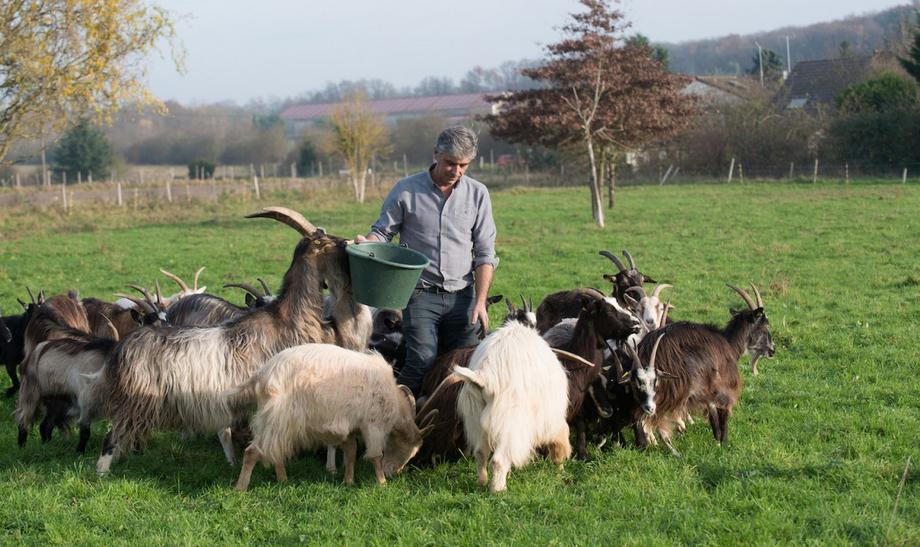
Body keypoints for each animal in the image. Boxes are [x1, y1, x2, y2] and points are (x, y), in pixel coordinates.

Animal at [91, 208, 368, 478]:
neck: (288, 317)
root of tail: (122, 349)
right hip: (136, 400)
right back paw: (102, 473)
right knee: (111, 436)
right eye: (327, 240)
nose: (347, 242)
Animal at [226, 344, 434, 490]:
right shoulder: (372, 425)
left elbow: (351, 452)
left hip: (280, 423)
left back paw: (283, 480)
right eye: (411, 451)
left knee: (275, 449)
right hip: (277, 418)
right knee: (253, 451)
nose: (394, 473)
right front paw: (382, 483)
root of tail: (262, 374)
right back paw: (240, 488)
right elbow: (375, 455)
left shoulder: (352, 427)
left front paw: (349, 481)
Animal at [454, 324, 572, 494]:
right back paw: (498, 490)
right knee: (498, 459)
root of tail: (485, 377)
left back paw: (482, 483)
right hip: (510, 421)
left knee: (481, 452)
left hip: (477, 419)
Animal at [632, 284, 768, 456]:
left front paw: (717, 442)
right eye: (765, 326)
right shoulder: (723, 388)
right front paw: (724, 444)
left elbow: (713, 418)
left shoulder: (708, 390)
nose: (772, 350)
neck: (729, 344)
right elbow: (722, 417)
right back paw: (669, 448)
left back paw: (643, 444)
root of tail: (646, 349)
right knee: (652, 416)